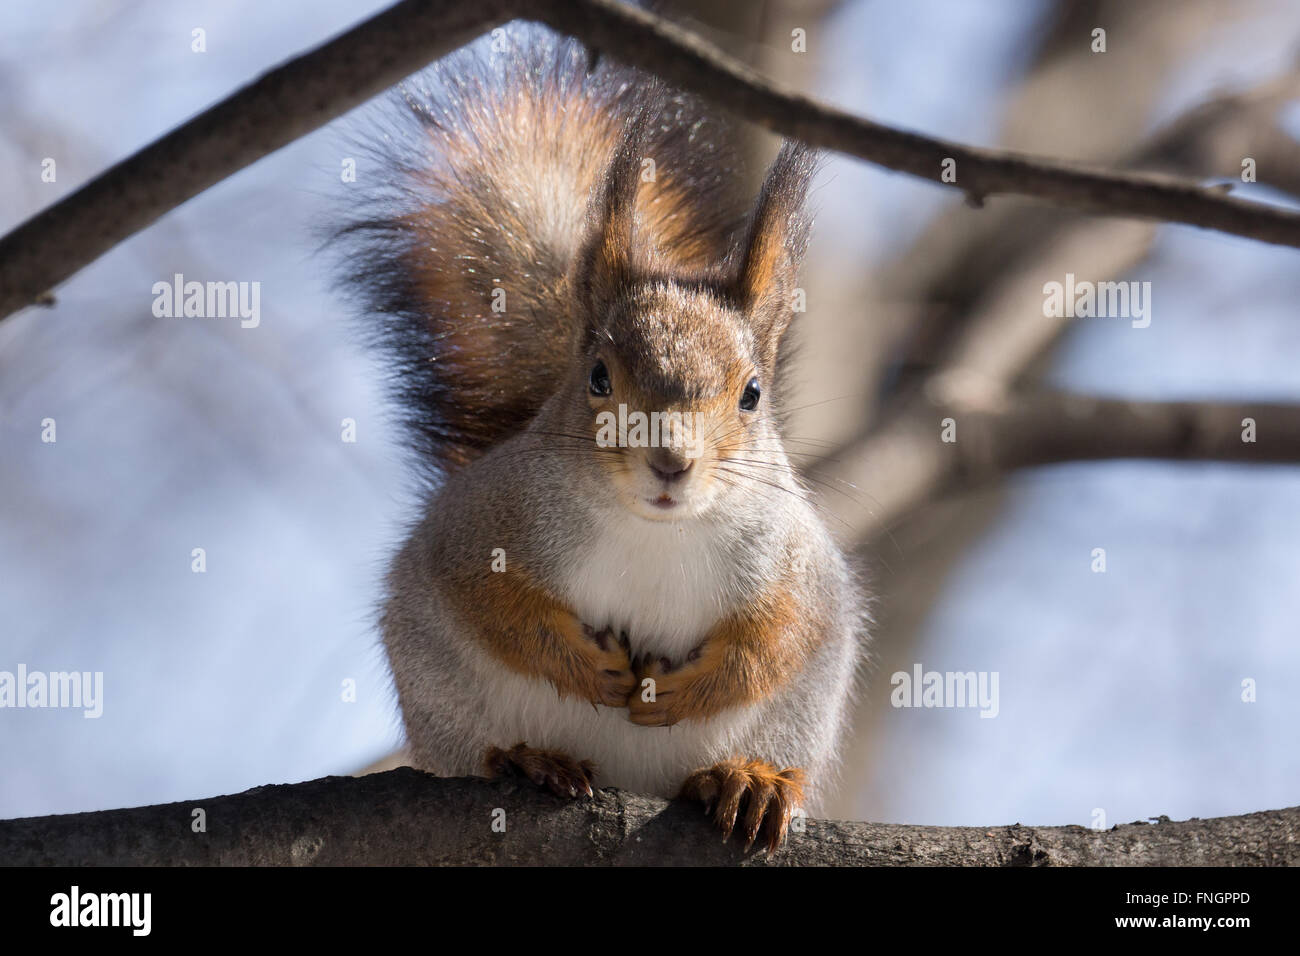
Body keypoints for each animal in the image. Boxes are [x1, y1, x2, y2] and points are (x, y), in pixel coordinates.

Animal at [335, 31, 868, 853]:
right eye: (596, 377)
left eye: (752, 394)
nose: (670, 462)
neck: (655, 531)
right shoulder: (479, 529)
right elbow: (494, 605)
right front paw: (591, 672)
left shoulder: (796, 568)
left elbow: (777, 639)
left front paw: (685, 691)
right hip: (444, 700)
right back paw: (528, 761)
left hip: (796, 722)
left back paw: (747, 781)